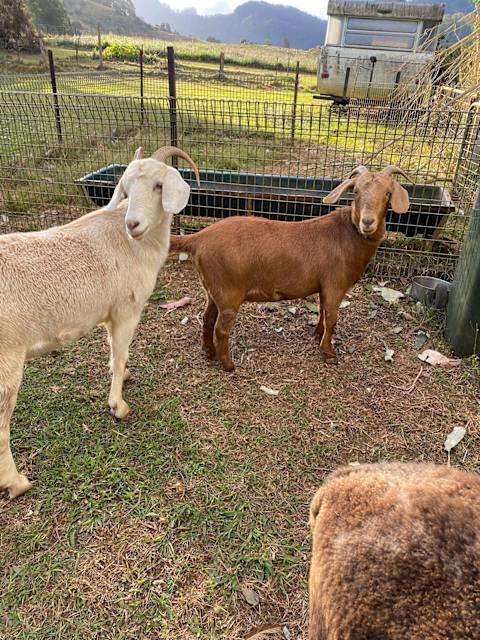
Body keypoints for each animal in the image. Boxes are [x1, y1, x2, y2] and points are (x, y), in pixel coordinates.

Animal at [0, 146, 199, 498]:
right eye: (127, 188)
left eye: (158, 186)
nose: (133, 223)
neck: (132, 243)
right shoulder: (127, 309)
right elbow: (119, 356)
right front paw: (118, 406)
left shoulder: (110, 313)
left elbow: (113, 350)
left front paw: (125, 375)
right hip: (7, 360)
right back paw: (16, 482)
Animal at [170, 166, 411, 371]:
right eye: (356, 192)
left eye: (388, 193)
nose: (367, 222)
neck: (348, 234)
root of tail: (199, 238)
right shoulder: (335, 285)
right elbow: (332, 318)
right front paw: (329, 353)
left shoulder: (324, 286)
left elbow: (322, 311)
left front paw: (316, 334)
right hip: (229, 292)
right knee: (221, 329)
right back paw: (228, 365)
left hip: (213, 290)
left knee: (207, 319)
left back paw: (208, 353)